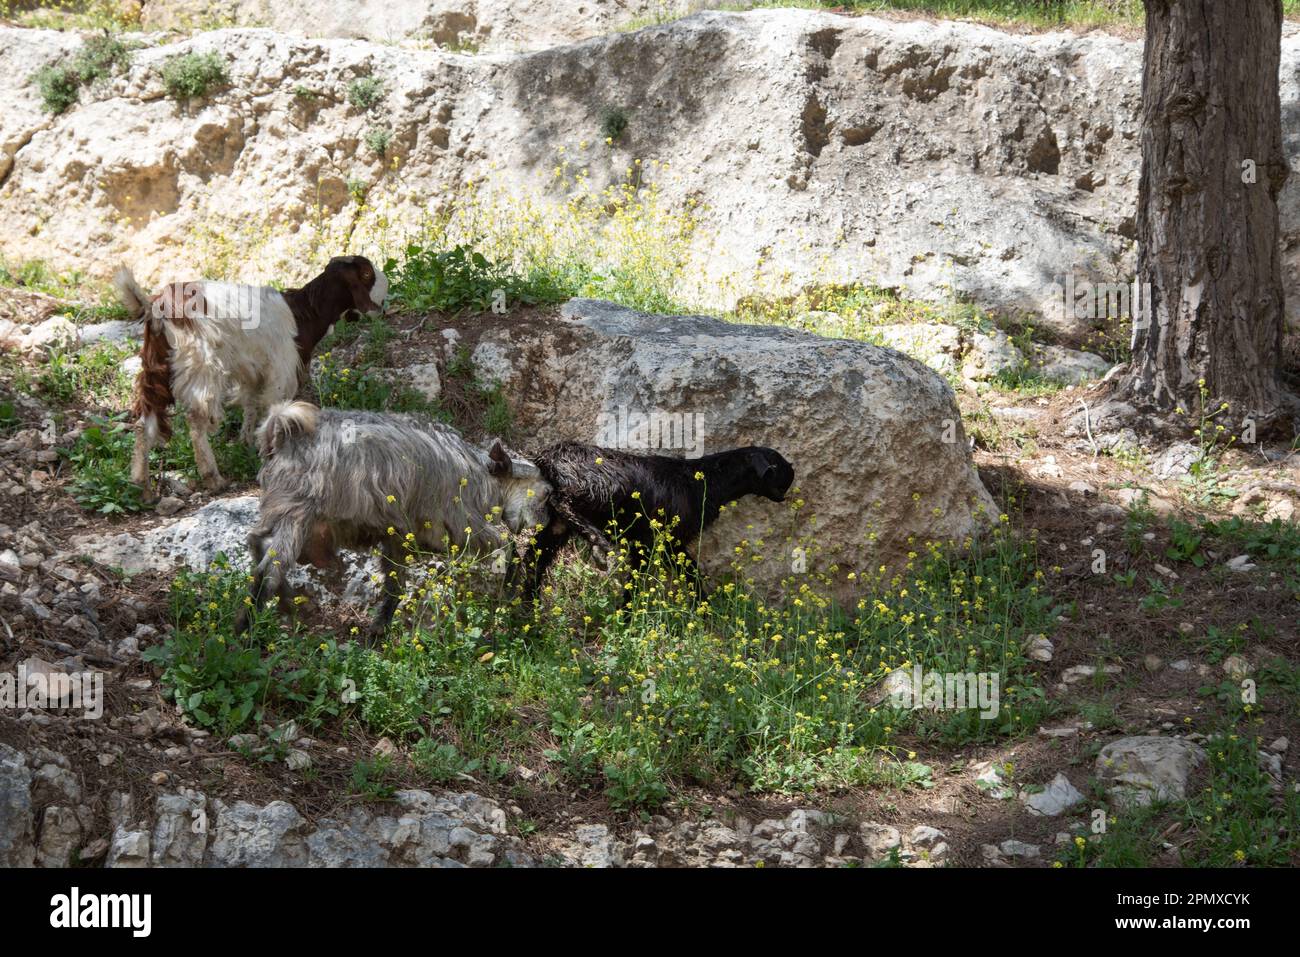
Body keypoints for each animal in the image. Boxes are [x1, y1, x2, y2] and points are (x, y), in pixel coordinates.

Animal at [113, 255, 387, 501]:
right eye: (366, 274)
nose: (385, 297)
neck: (305, 312)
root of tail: (156, 306)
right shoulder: (281, 370)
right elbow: (275, 411)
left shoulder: (254, 373)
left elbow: (251, 406)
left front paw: (246, 444)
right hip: (201, 362)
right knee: (196, 420)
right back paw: (213, 478)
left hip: (156, 367)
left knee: (144, 422)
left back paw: (143, 487)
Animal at [234, 402, 552, 638]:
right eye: (547, 493)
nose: (543, 525)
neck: (481, 470)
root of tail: (282, 432)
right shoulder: (463, 522)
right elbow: (506, 545)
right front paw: (513, 591)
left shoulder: (400, 532)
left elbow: (395, 579)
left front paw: (380, 627)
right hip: (296, 512)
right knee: (270, 567)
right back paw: (248, 629)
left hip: (280, 509)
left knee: (258, 547)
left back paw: (281, 606)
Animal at [513, 442, 794, 600]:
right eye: (779, 467)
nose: (793, 471)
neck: (704, 482)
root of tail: (548, 456)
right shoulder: (649, 541)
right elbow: (638, 581)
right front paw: (627, 620)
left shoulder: (672, 542)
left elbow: (691, 572)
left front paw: (703, 609)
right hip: (599, 486)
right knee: (561, 501)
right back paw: (599, 545)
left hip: (557, 526)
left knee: (536, 556)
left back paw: (528, 605)